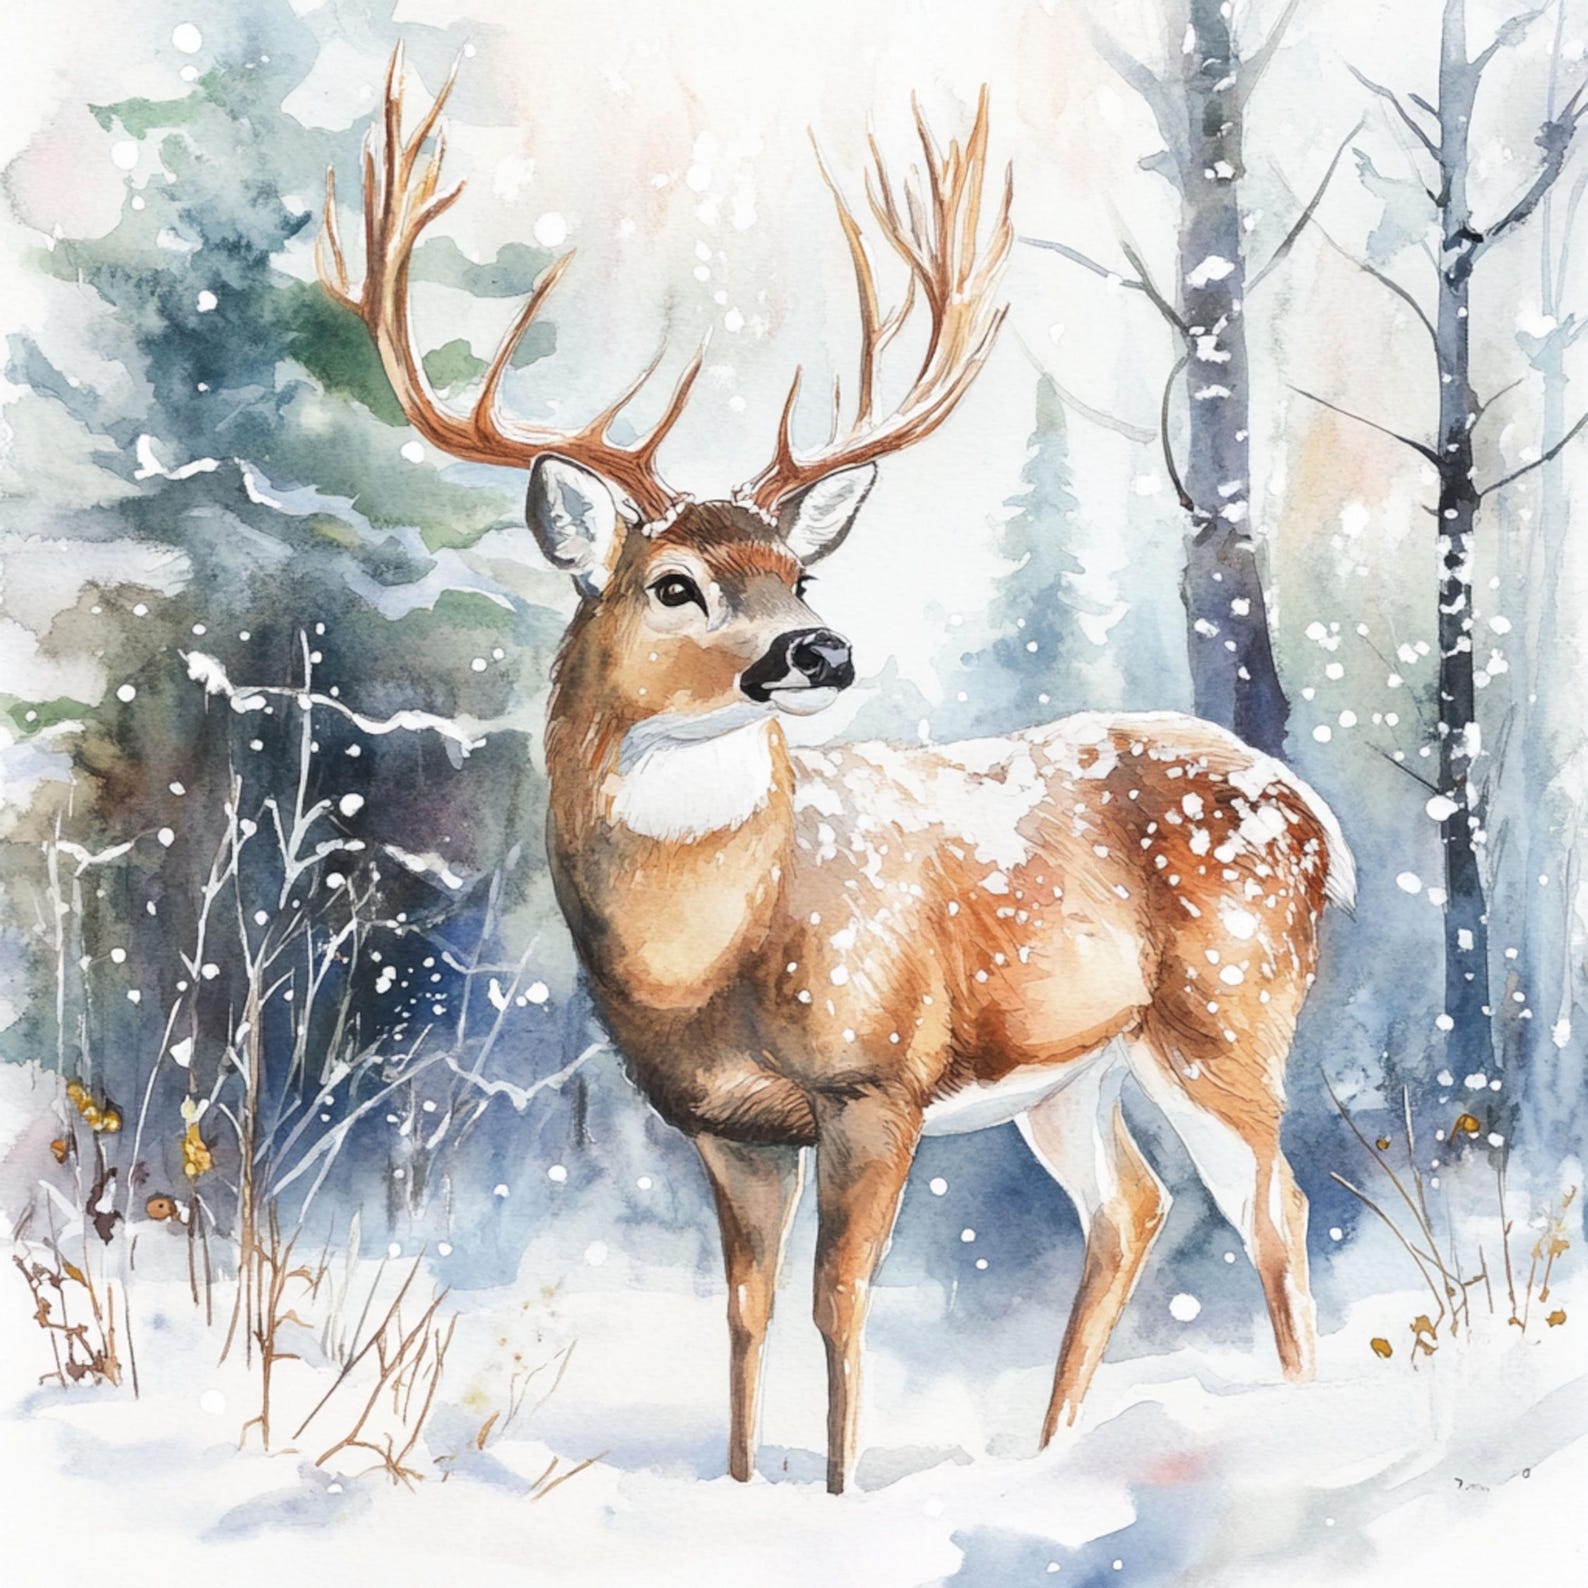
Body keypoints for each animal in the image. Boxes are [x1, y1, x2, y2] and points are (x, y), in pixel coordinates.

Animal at [319, 47, 1355, 1495]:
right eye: (675, 583)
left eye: (798, 574)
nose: (821, 647)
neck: (709, 951)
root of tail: (1318, 825)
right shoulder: (727, 1124)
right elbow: (746, 1310)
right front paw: (743, 1487)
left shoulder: (876, 1083)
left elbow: (839, 1303)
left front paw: (840, 1491)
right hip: (1074, 1067)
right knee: (1132, 1209)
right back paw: (1051, 1450)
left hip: (1227, 1011)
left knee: (1272, 1202)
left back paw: (1292, 1418)